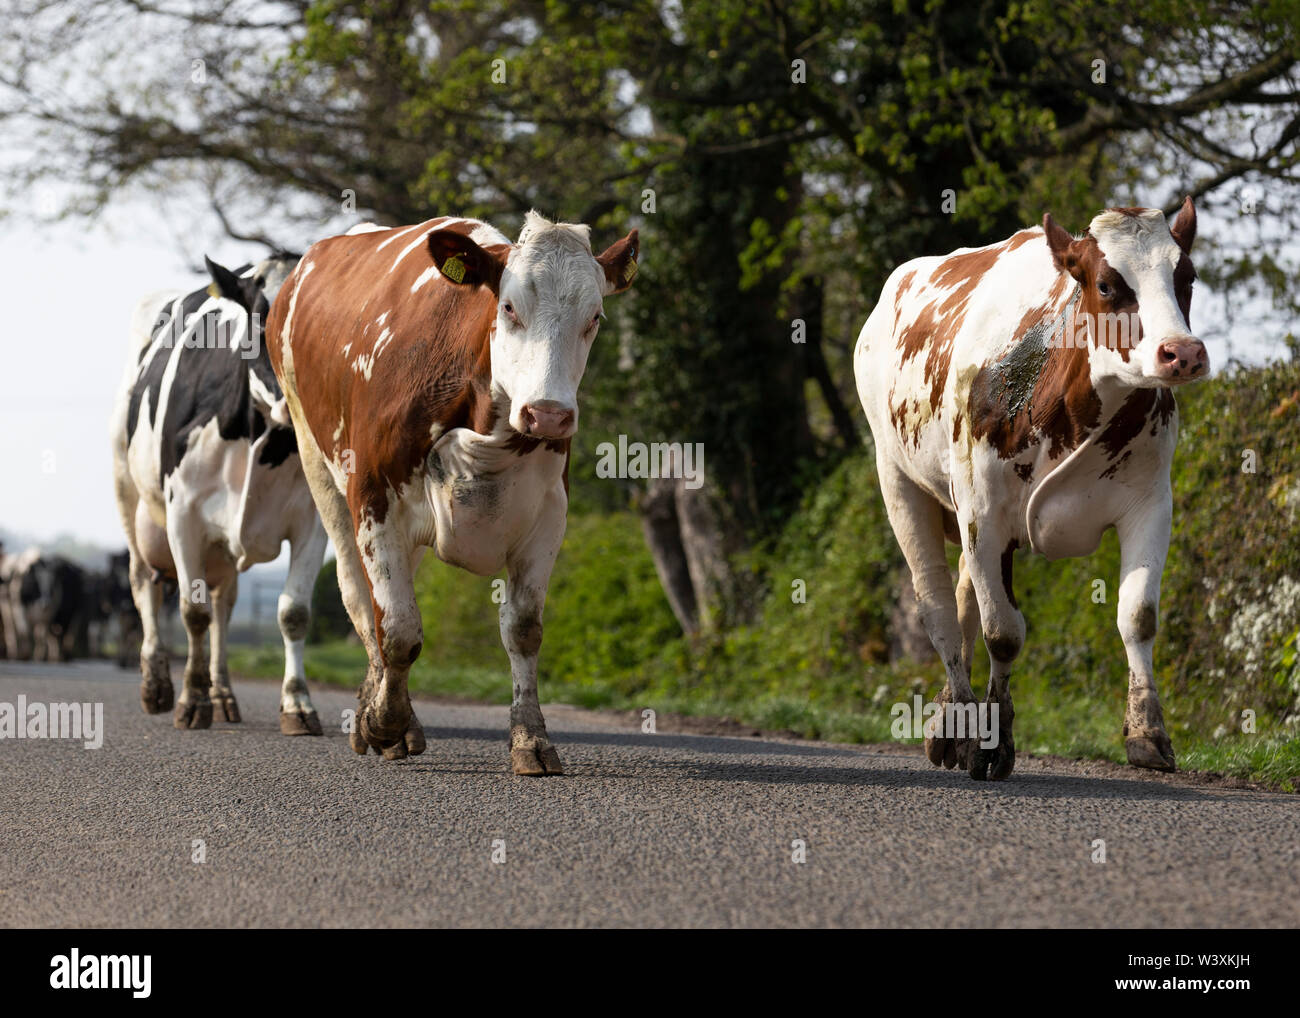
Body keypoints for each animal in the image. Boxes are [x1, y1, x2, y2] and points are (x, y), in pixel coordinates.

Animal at [111, 254, 329, 734]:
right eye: (261, 319)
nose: (300, 399)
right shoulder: (184, 515)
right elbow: (192, 612)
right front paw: (191, 701)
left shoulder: (313, 522)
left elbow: (293, 613)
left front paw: (297, 704)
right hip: (127, 492)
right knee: (143, 582)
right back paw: (156, 685)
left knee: (224, 604)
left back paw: (224, 693)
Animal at [266, 212, 638, 774]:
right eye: (509, 307)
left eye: (594, 317)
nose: (548, 414)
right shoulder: (374, 499)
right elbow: (398, 629)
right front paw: (385, 722)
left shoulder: (548, 517)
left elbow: (523, 629)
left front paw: (531, 738)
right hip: (317, 463)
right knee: (360, 597)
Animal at [854, 197, 1206, 780]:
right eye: (1107, 284)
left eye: (1188, 276)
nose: (1182, 353)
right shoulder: (983, 512)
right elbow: (1003, 632)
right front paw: (992, 743)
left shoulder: (1151, 503)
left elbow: (1137, 616)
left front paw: (1148, 734)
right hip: (900, 484)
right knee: (939, 610)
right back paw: (960, 722)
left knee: (961, 600)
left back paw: (948, 723)